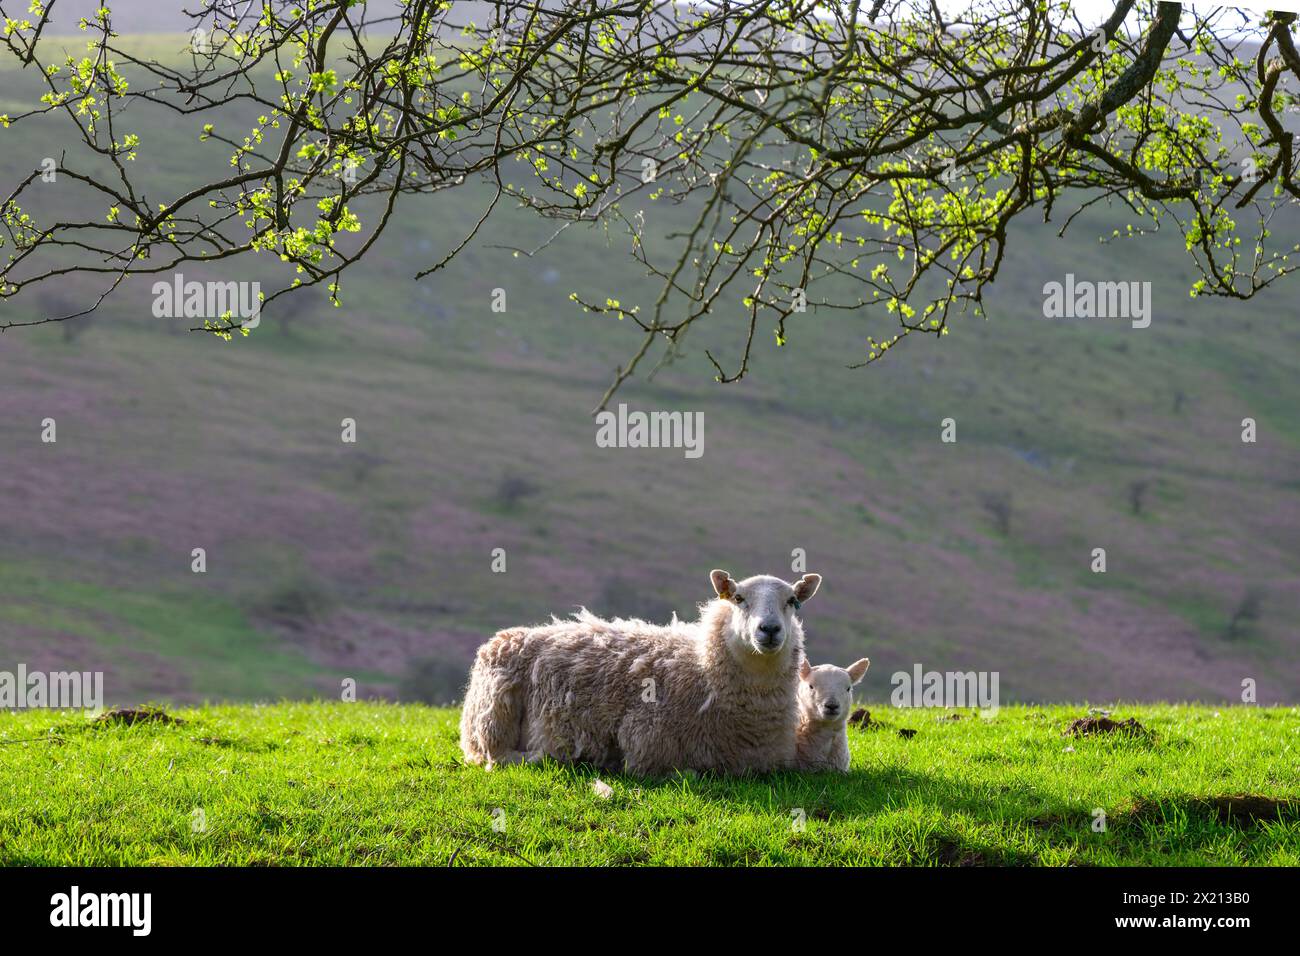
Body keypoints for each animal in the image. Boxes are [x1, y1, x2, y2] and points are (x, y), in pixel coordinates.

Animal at [458, 569, 822, 775]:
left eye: (793, 601)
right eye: (738, 598)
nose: (769, 630)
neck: (701, 668)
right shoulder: (646, 746)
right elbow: (684, 773)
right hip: (491, 721)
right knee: (496, 757)